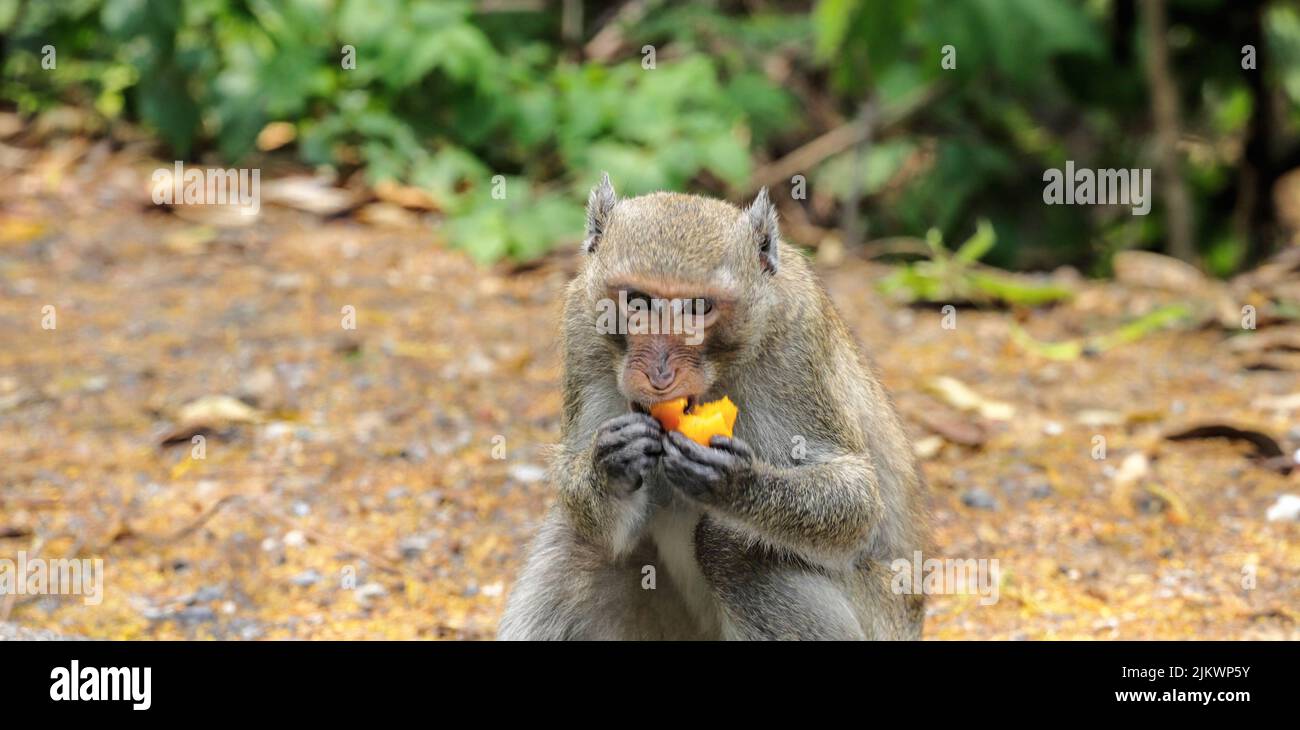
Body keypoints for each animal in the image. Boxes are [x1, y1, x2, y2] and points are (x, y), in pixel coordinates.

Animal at [497, 174, 929, 640]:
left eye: (697, 307)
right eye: (638, 301)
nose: (660, 373)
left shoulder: (797, 337)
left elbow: (856, 497)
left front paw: (735, 482)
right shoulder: (583, 327)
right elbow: (581, 483)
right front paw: (610, 464)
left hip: (882, 619)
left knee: (732, 550)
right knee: (580, 541)